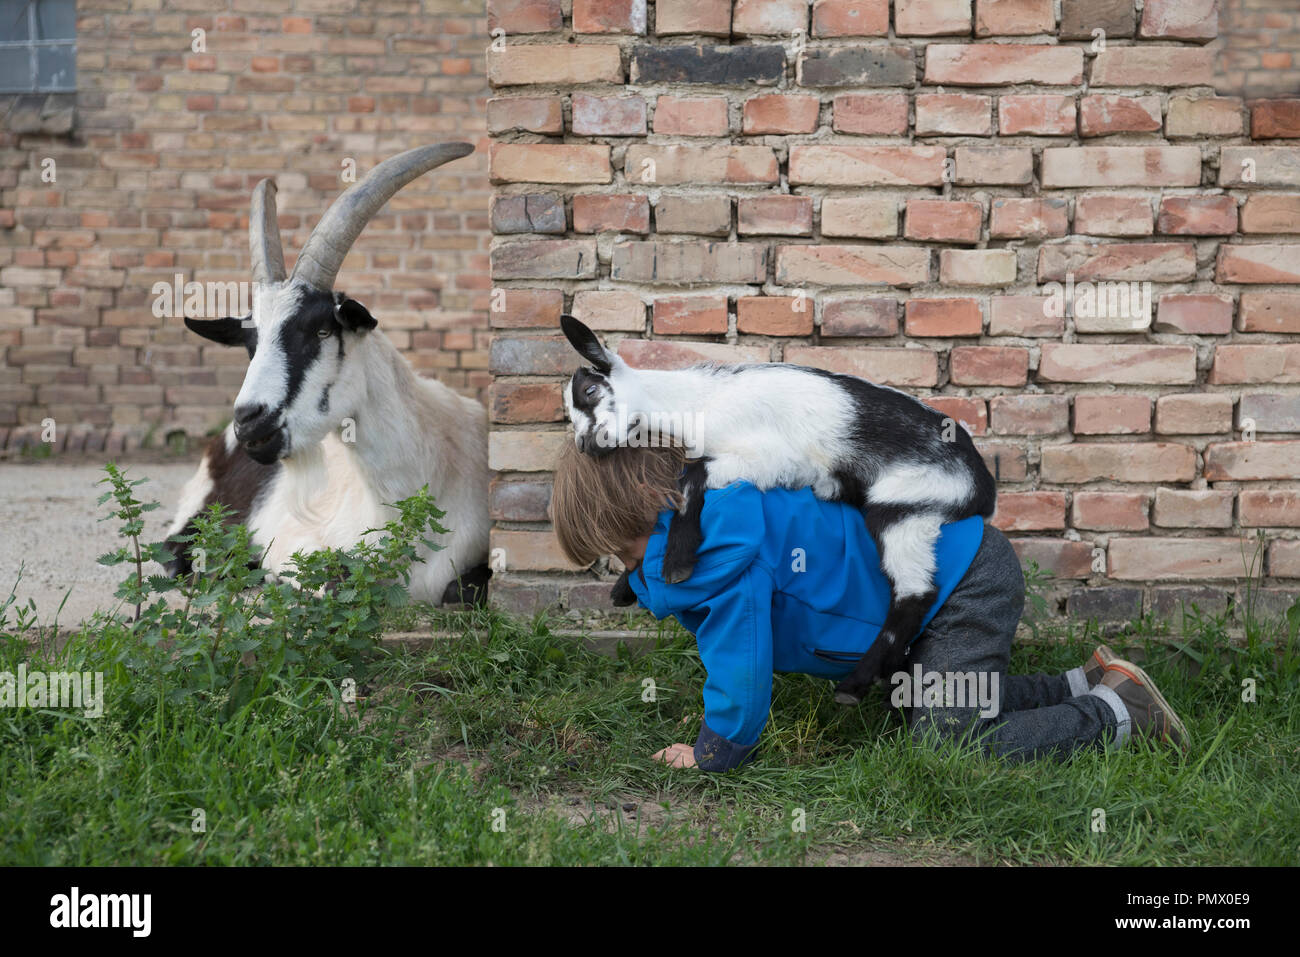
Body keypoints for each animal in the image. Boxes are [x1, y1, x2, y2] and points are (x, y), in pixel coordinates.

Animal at [560, 314, 997, 704]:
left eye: (592, 392)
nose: (587, 445)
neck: (699, 402)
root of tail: (982, 488)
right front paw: (624, 586)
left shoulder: (772, 457)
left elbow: (692, 477)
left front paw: (676, 563)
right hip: (914, 509)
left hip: (904, 501)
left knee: (915, 591)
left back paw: (853, 686)